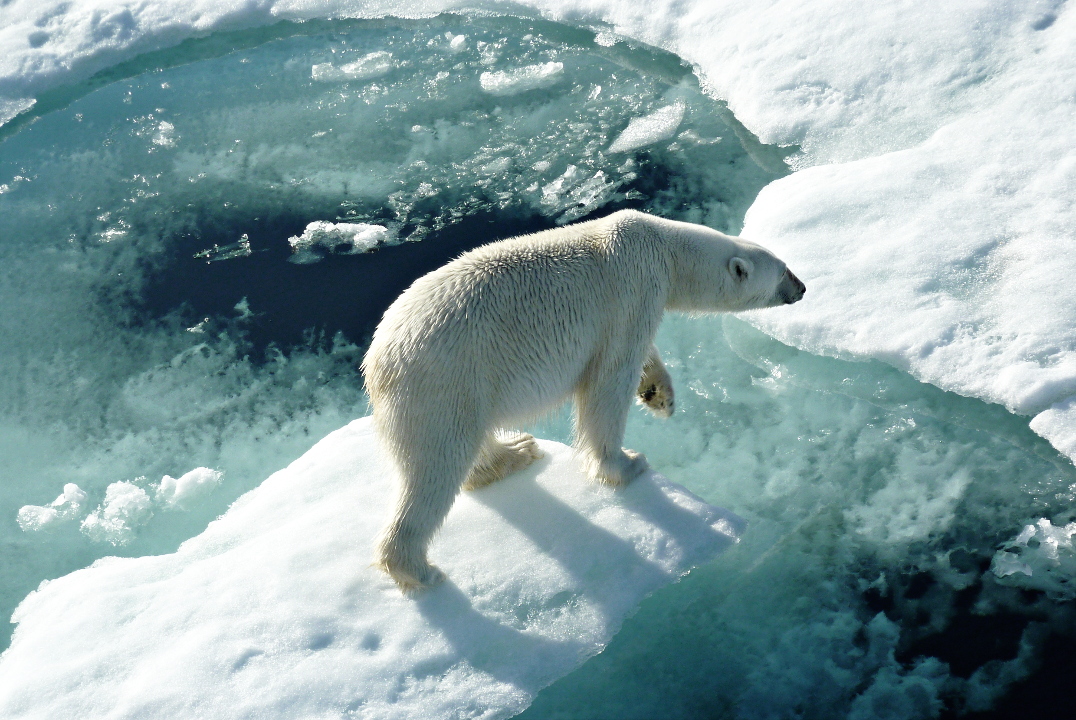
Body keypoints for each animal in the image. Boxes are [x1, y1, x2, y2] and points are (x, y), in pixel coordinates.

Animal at [362, 209, 805, 592]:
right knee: (436, 466)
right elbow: (610, 378)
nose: (801, 288)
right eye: (783, 270)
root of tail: (377, 362)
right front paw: (626, 464)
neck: (662, 247)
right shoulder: (633, 292)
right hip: (445, 383)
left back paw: (516, 451)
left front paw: (659, 394)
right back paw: (419, 570)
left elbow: (642, 356)